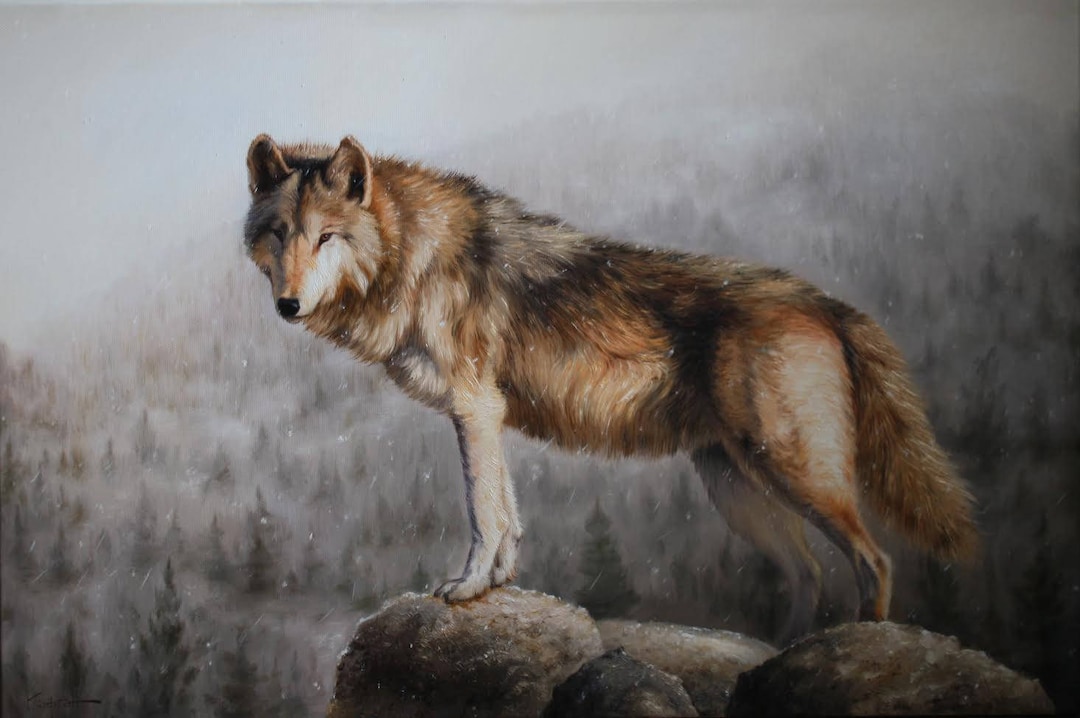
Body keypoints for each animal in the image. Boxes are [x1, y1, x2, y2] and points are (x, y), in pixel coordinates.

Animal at [243, 134, 977, 640]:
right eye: (278, 233)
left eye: (327, 237)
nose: (287, 306)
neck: (410, 256)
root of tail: (825, 302)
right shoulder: (486, 415)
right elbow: (508, 512)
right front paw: (501, 581)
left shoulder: (474, 409)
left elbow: (483, 512)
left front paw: (469, 587)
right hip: (740, 491)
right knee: (810, 573)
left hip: (792, 474)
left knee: (875, 561)